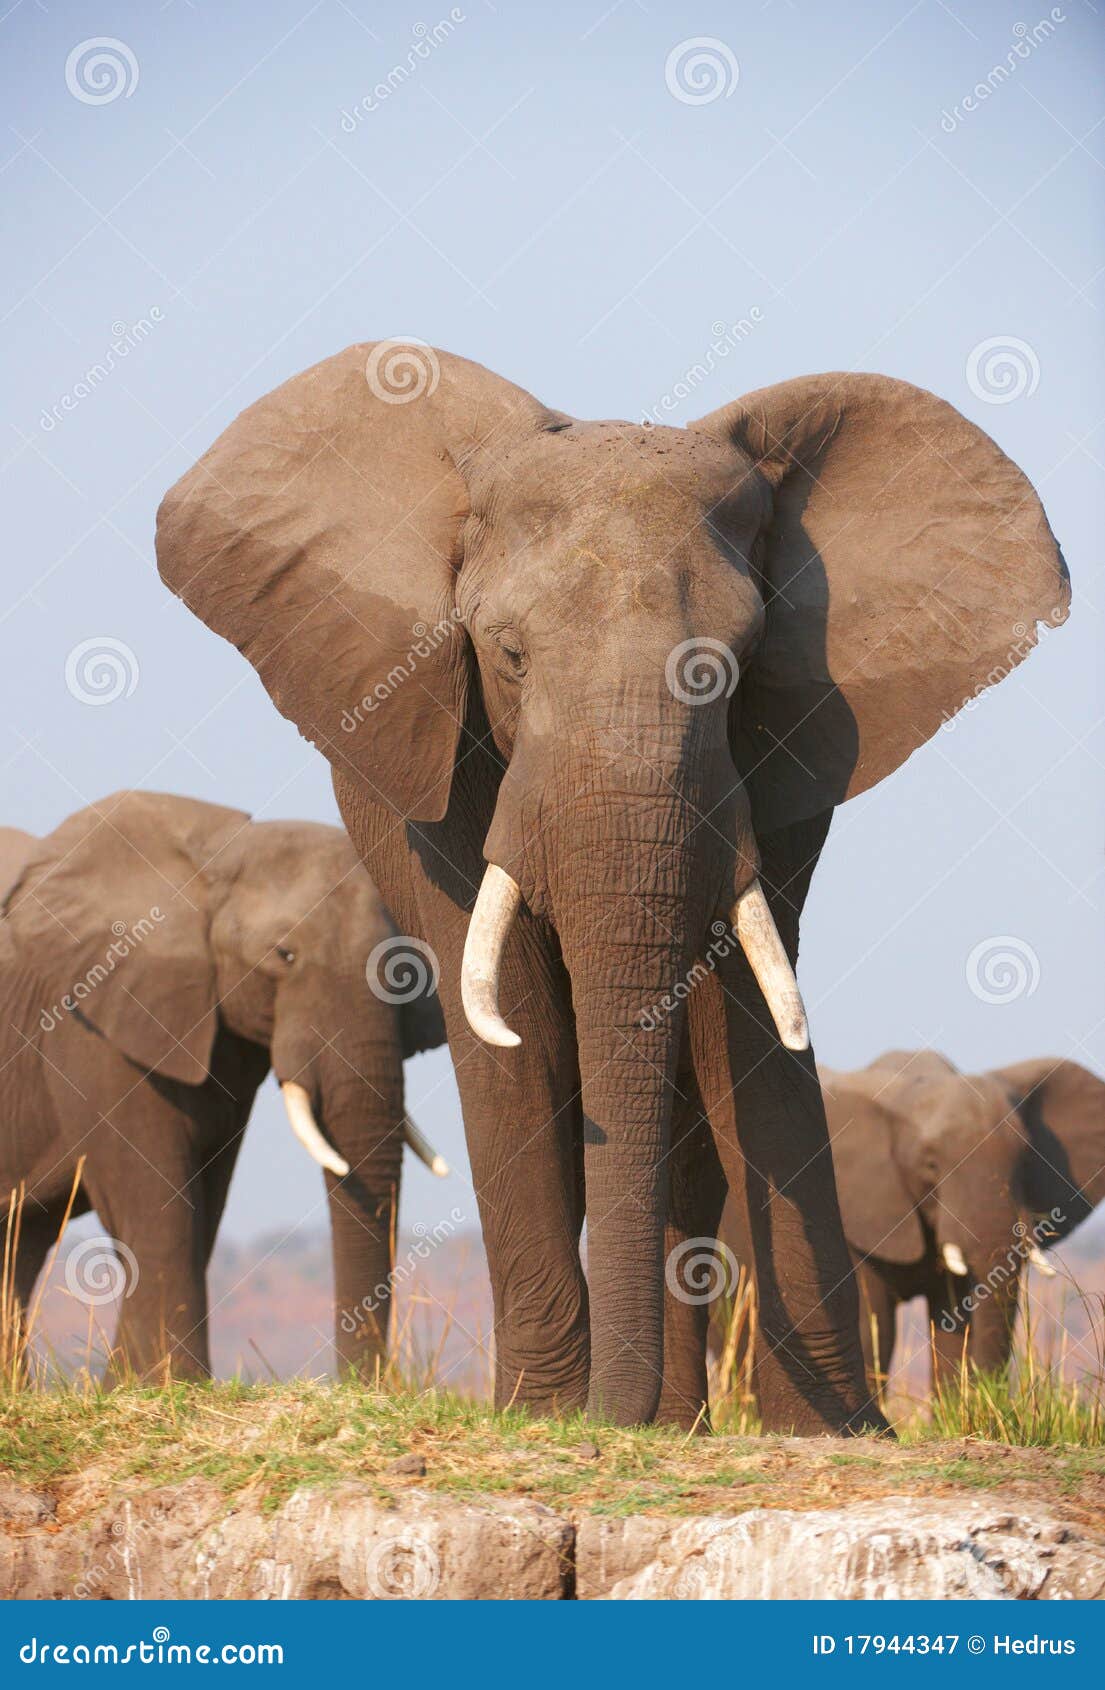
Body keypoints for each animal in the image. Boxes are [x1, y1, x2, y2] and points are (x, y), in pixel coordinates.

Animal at [0, 790, 447, 1380]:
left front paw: (133, 1384)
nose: (362, 1385)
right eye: (284, 955)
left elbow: (201, 1198)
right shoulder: (92, 1022)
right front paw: (166, 1383)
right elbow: (155, 1199)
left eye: (404, 971)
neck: (216, 859)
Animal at [155, 340, 1068, 1432]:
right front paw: (543, 1412)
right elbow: (521, 1029)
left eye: (736, 664)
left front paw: (840, 1435)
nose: (607, 1415)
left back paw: (676, 1418)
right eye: (507, 656)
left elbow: (738, 1013)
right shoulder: (447, 761)